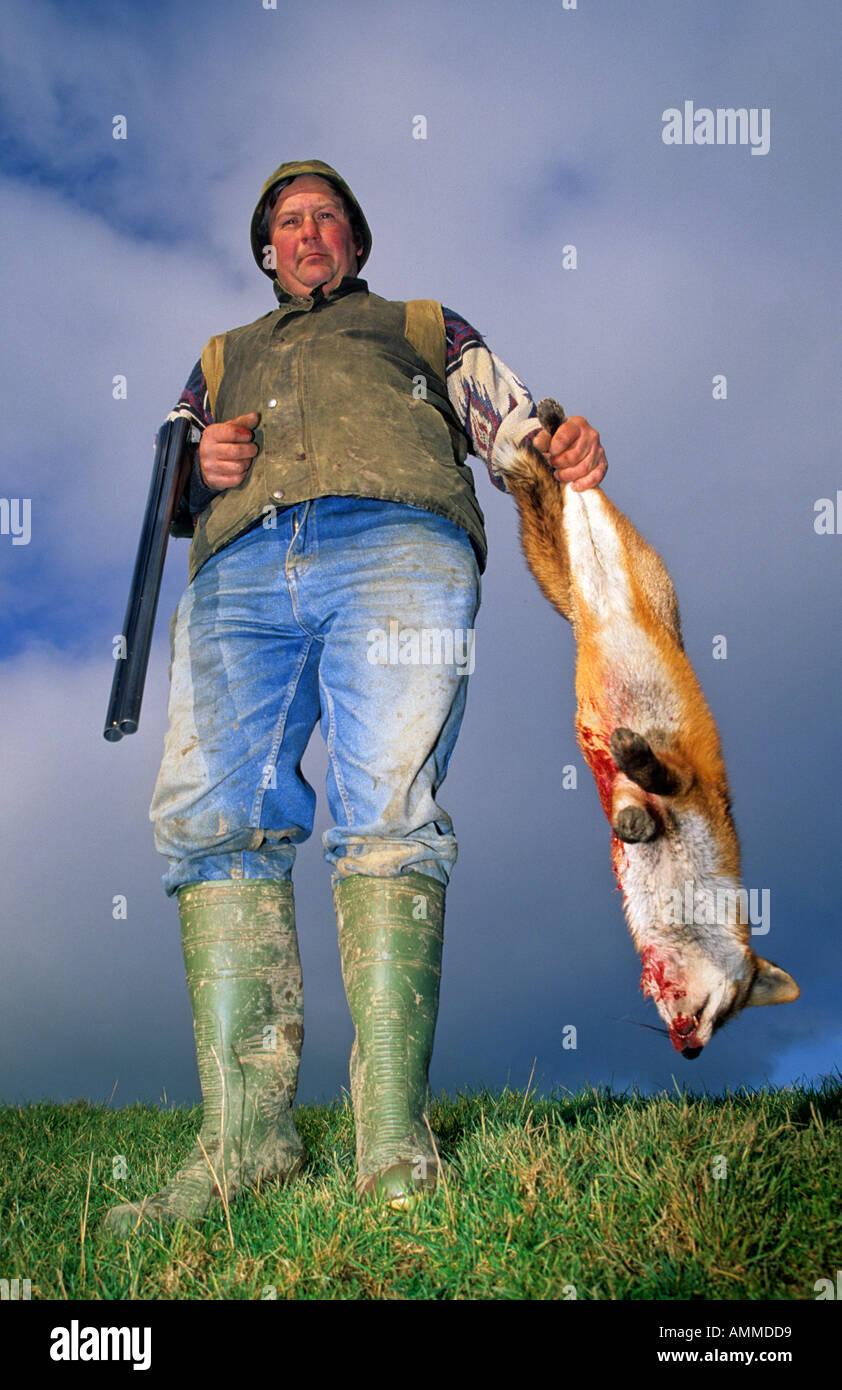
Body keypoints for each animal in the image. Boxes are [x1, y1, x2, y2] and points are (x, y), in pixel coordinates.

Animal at [497, 398, 799, 1057]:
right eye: (730, 1010)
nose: (691, 1052)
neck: (676, 866)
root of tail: (588, 614)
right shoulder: (688, 785)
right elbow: (657, 775)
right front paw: (638, 770)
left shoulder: (644, 797)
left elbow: (631, 810)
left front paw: (632, 820)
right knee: (574, 487)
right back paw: (555, 426)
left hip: (568, 568)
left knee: (553, 490)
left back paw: (543, 440)